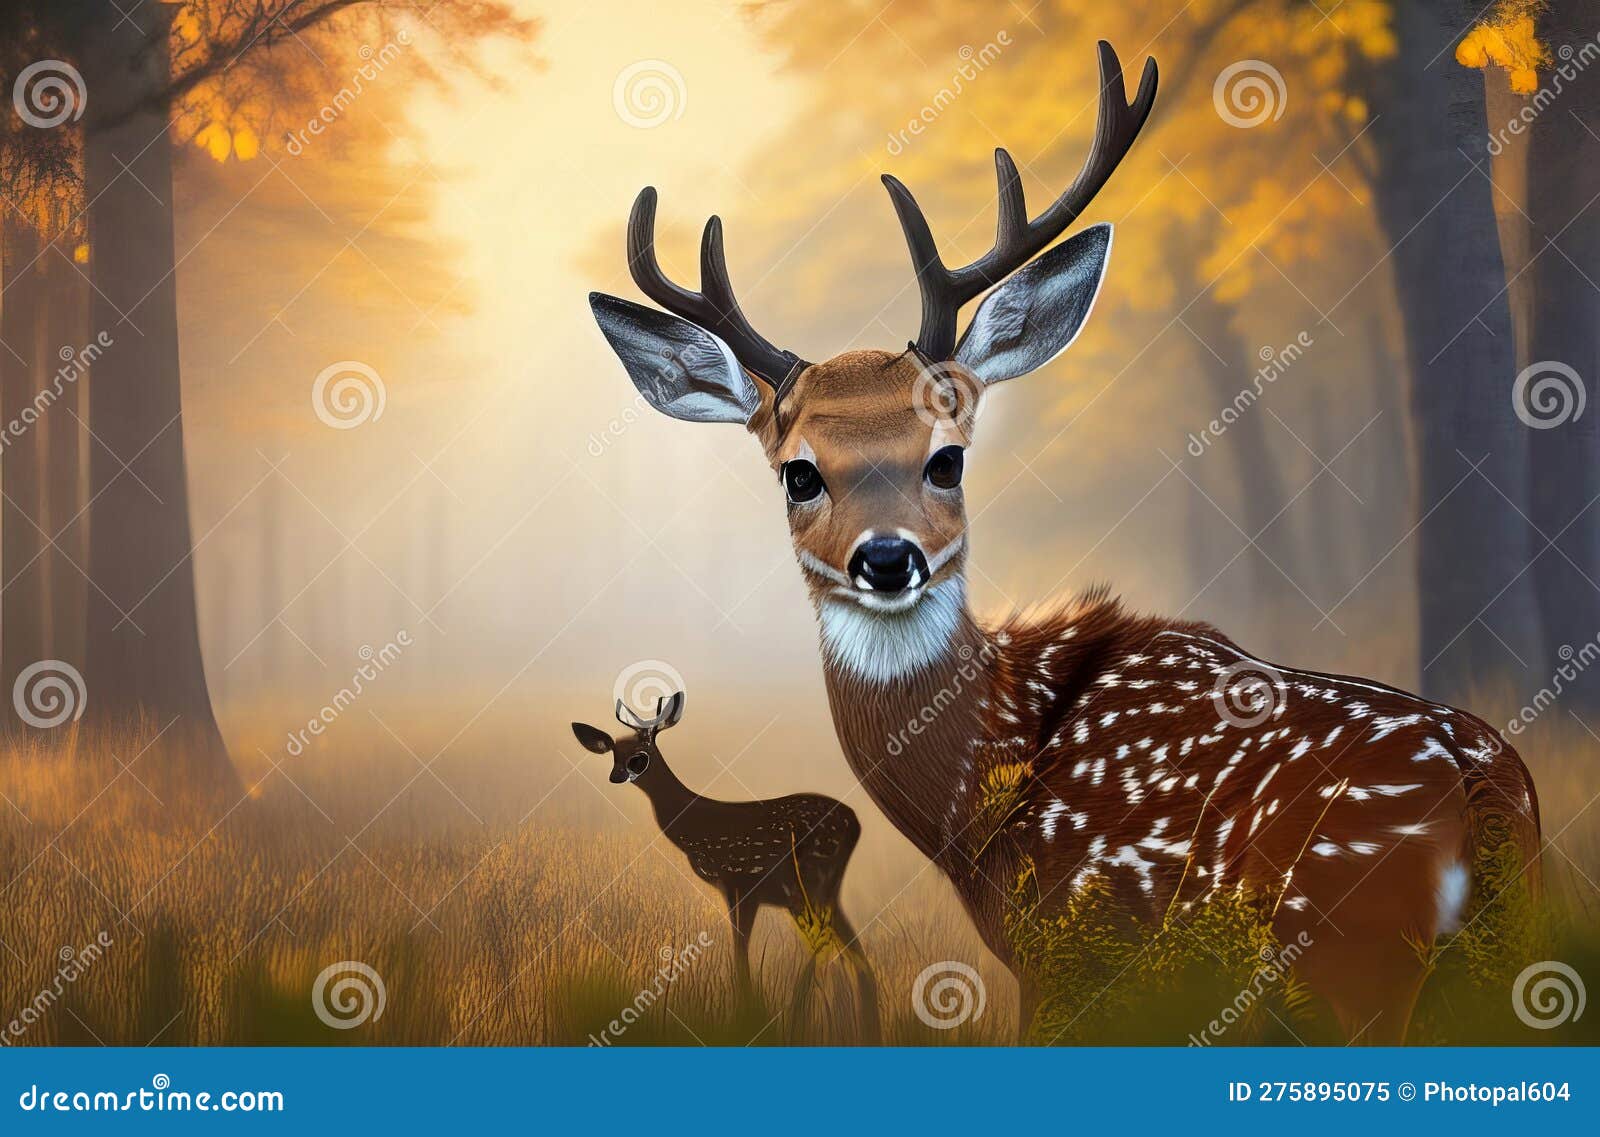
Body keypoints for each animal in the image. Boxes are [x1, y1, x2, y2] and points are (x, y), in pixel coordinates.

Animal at [571, 692, 881, 1040]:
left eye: (640, 756)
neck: (697, 825)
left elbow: (740, 958)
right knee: (857, 959)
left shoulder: (740, 880)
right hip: (824, 889)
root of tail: (855, 824)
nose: (616, 776)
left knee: (827, 948)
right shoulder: (736, 889)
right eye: (614, 753)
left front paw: (748, 1019)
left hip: (808, 881)